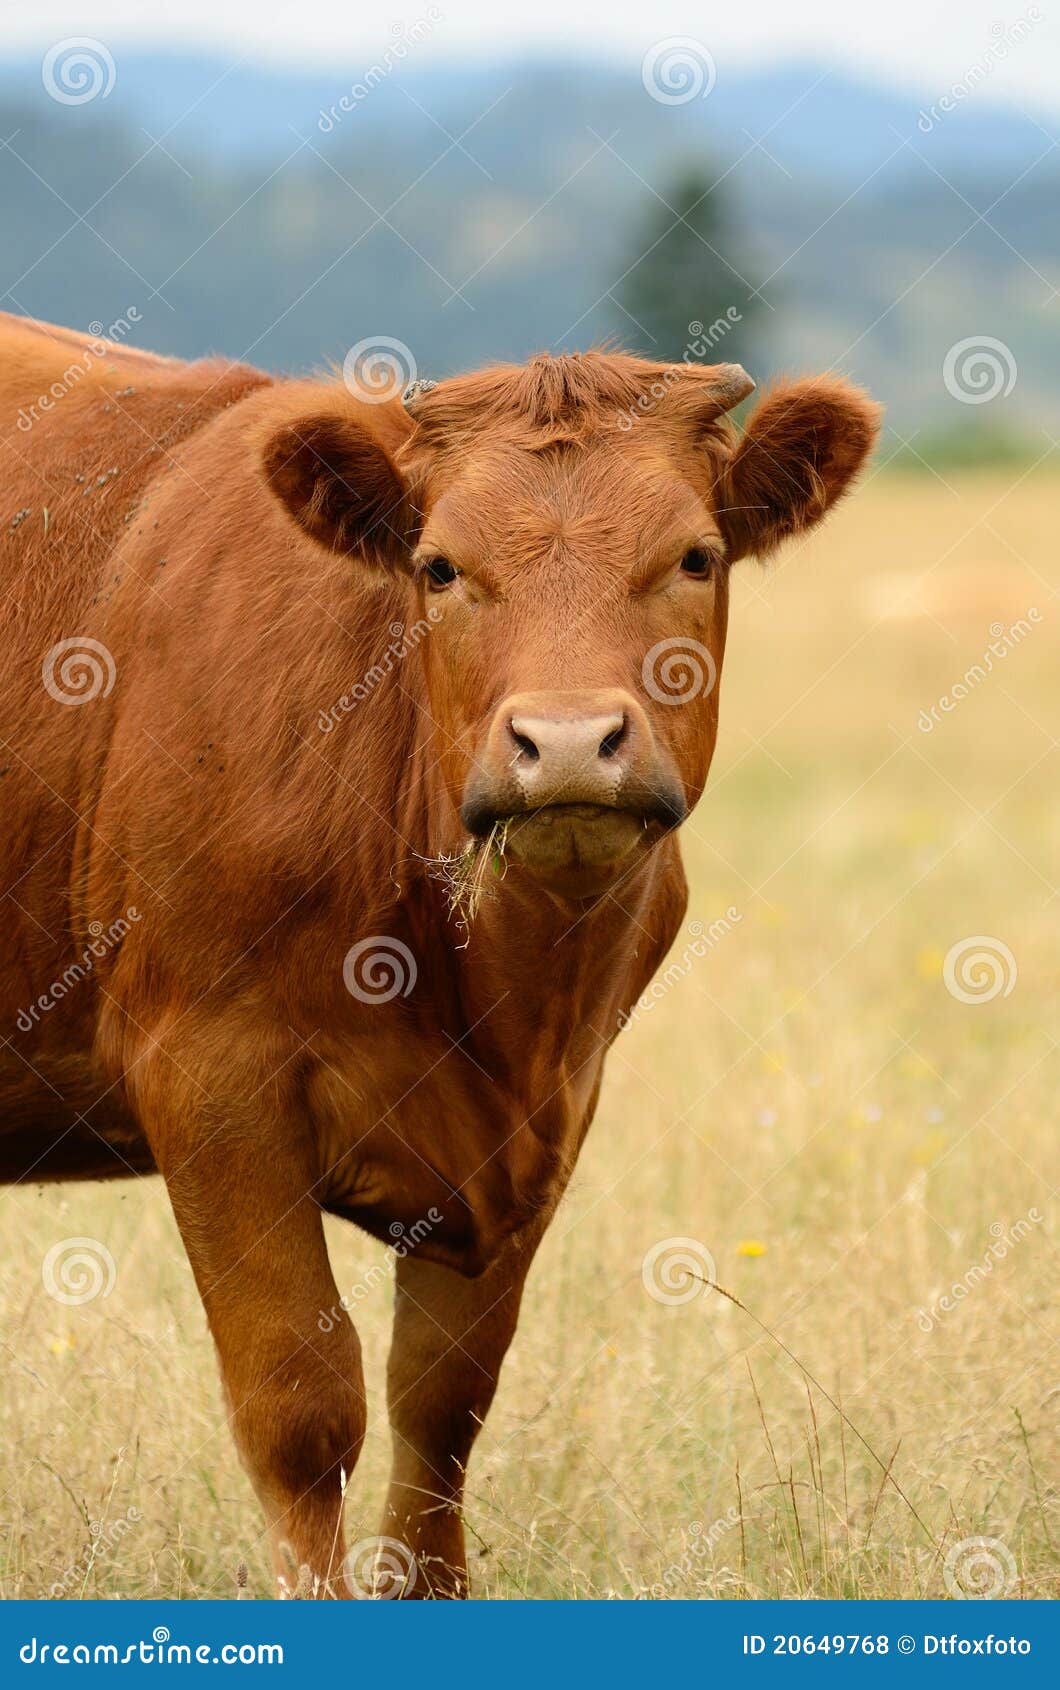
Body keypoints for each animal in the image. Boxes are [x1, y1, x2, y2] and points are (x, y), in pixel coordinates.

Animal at [0, 310, 879, 1597]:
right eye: (440, 568)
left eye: (694, 557)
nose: (565, 741)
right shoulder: (207, 1074)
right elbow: (302, 1401)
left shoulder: (546, 1116)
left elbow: (442, 1402)